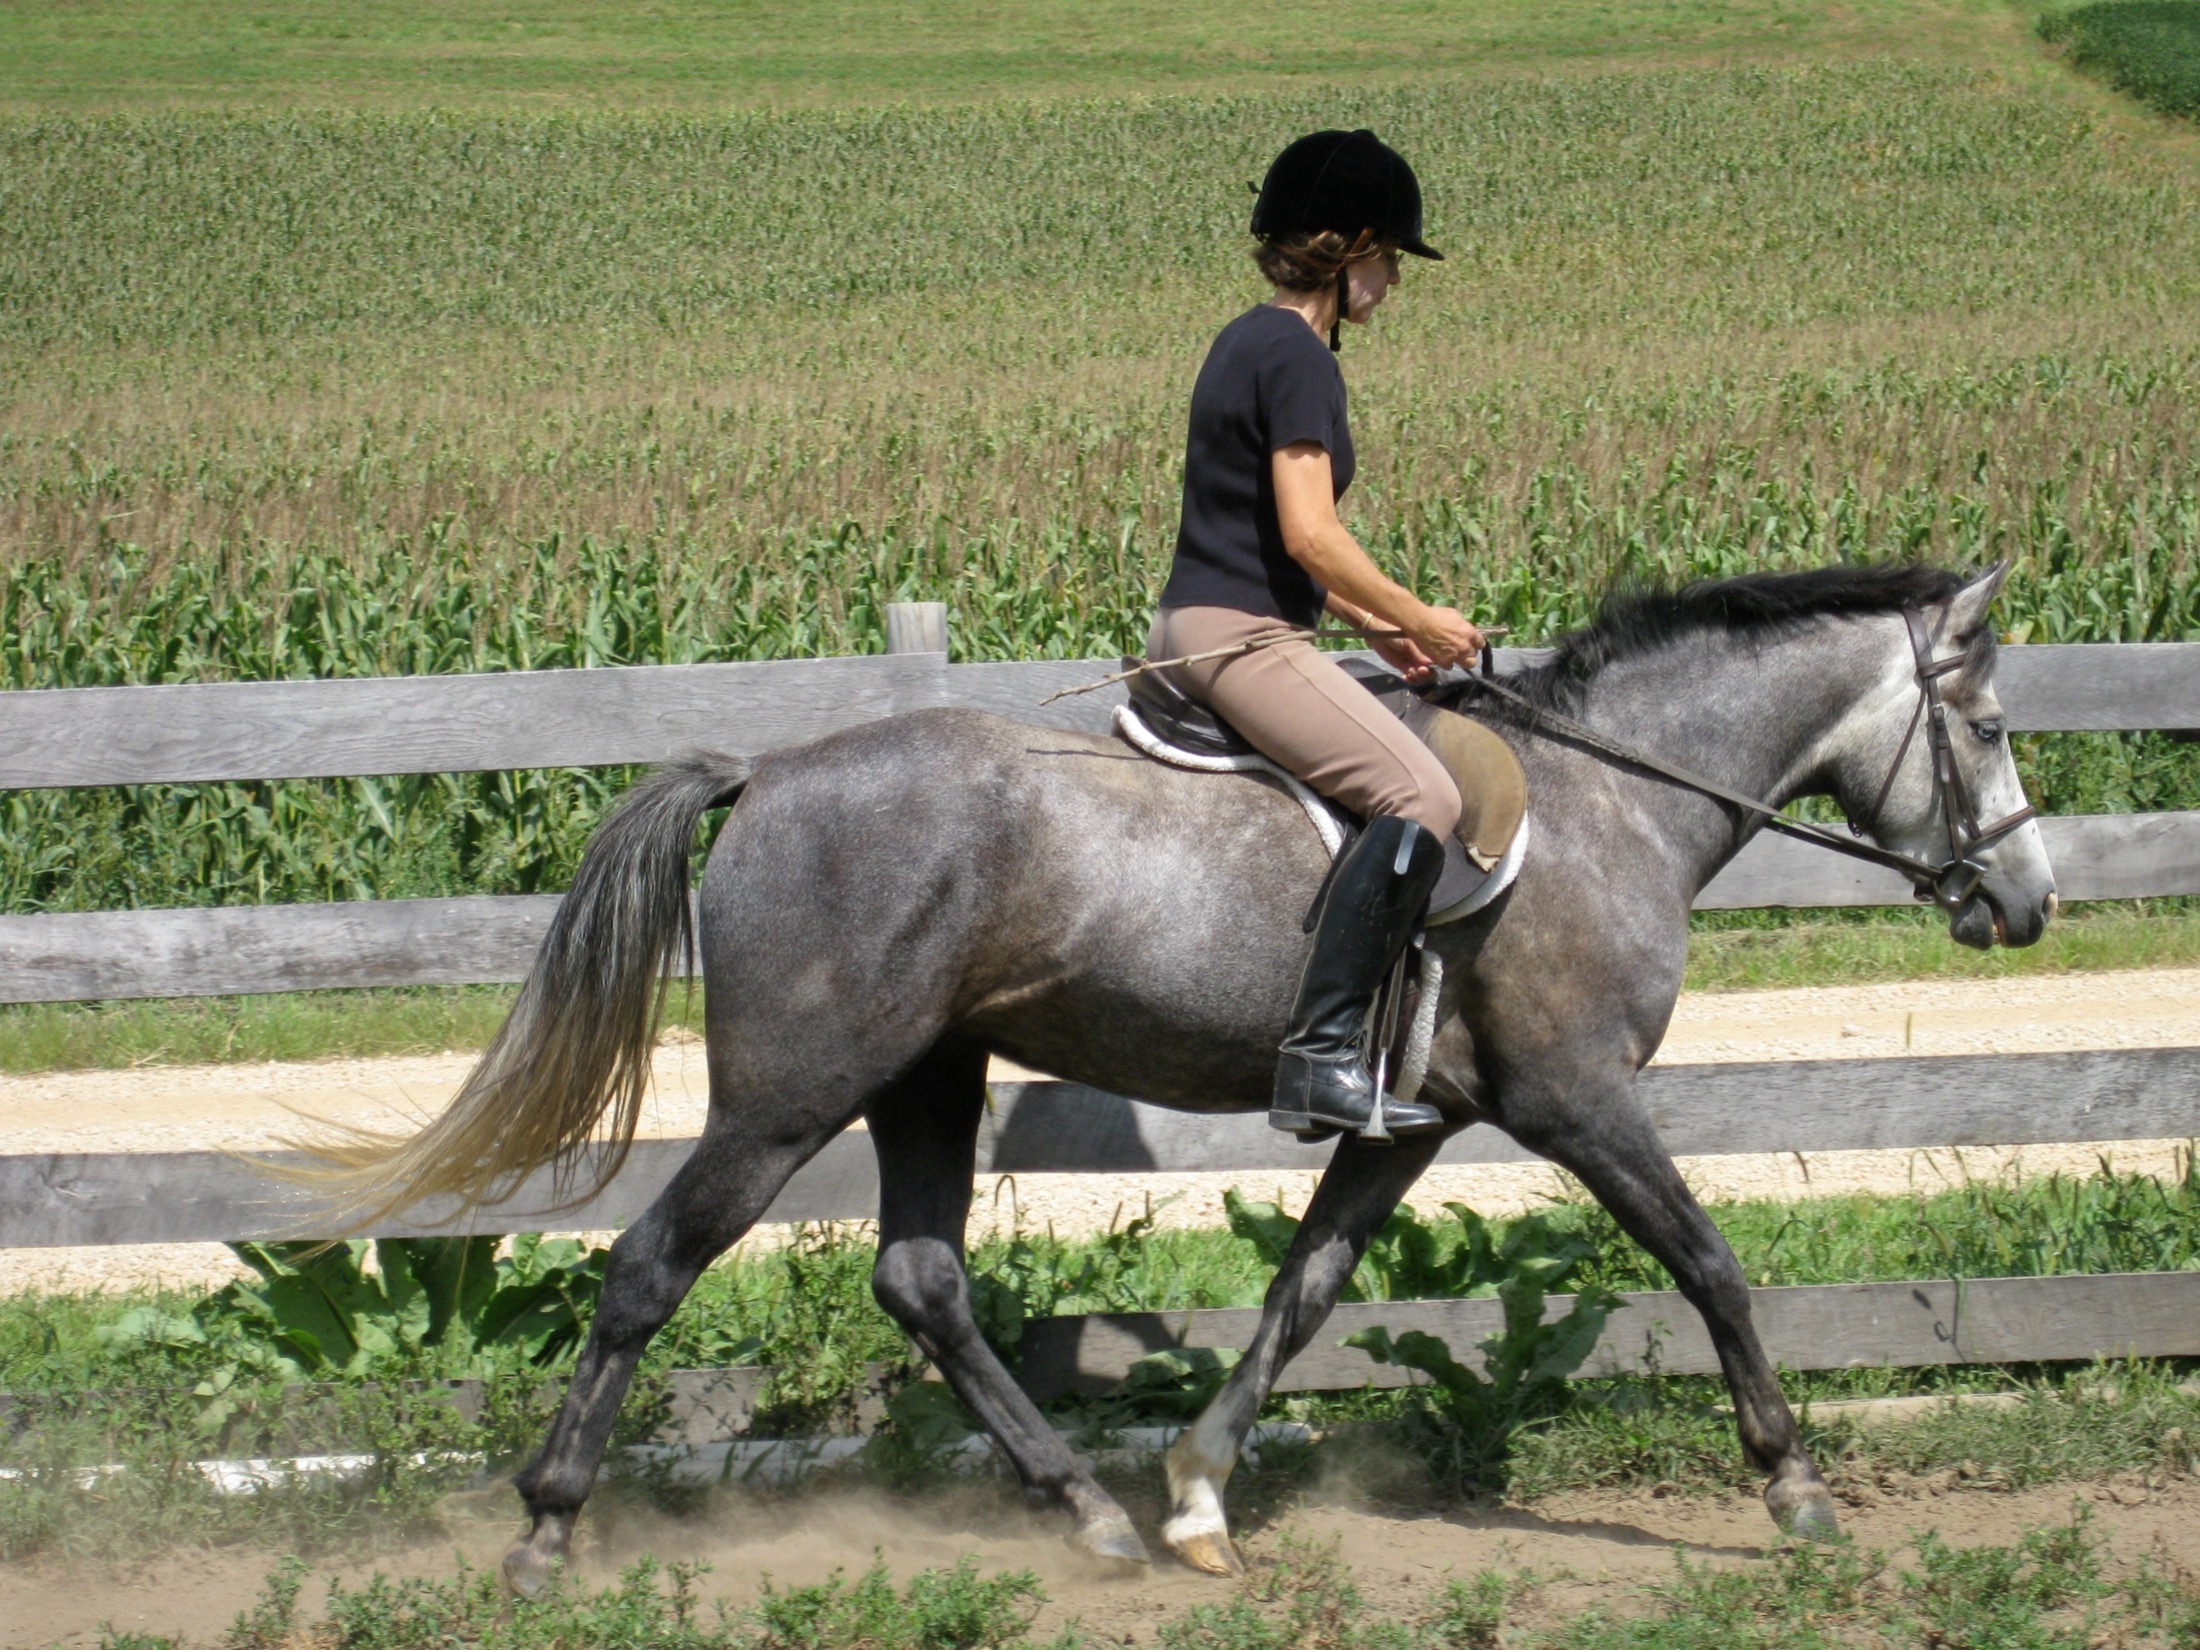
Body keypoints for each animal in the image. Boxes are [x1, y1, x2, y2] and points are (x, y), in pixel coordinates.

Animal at [310, 561, 2055, 1592]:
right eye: (1983, 720)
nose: (2026, 902)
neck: (1606, 798)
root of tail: (769, 775)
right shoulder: (1577, 1099)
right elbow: (1709, 1260)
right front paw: (1795, 1487)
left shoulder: (1412, 1126)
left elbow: (1307, 1285)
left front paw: (1202, 1491)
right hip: (787, 1097)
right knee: (650, 1268)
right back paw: (547, 1529)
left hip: (931, 1074)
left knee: (922, 1278)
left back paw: (1084, 1510)